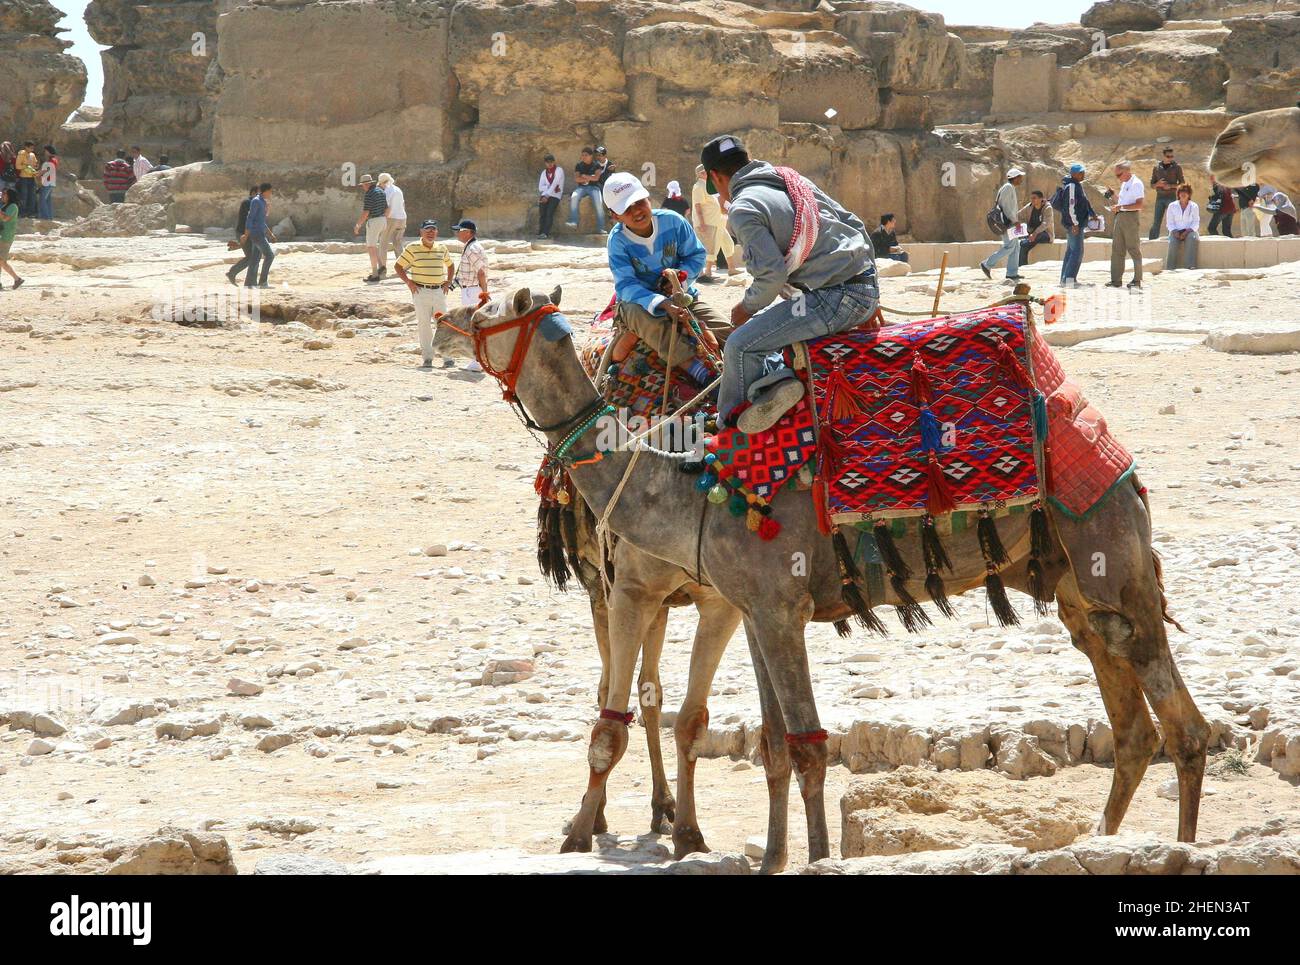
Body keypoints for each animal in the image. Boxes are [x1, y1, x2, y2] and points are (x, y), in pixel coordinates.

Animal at [435, 286, 1209, 873]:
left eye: (489, 307)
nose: (445, 317)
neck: (687, 483)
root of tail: (1122, 464)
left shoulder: (773, 606)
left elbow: (808, 742)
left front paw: (812, 856)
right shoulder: (750, 608)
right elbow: (775, 744)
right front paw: (775, 856)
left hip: (1112, 555)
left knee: (1184, 726)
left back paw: (1179, 851)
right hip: (1076, 583)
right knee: (1131, 722)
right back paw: (1102, 843)